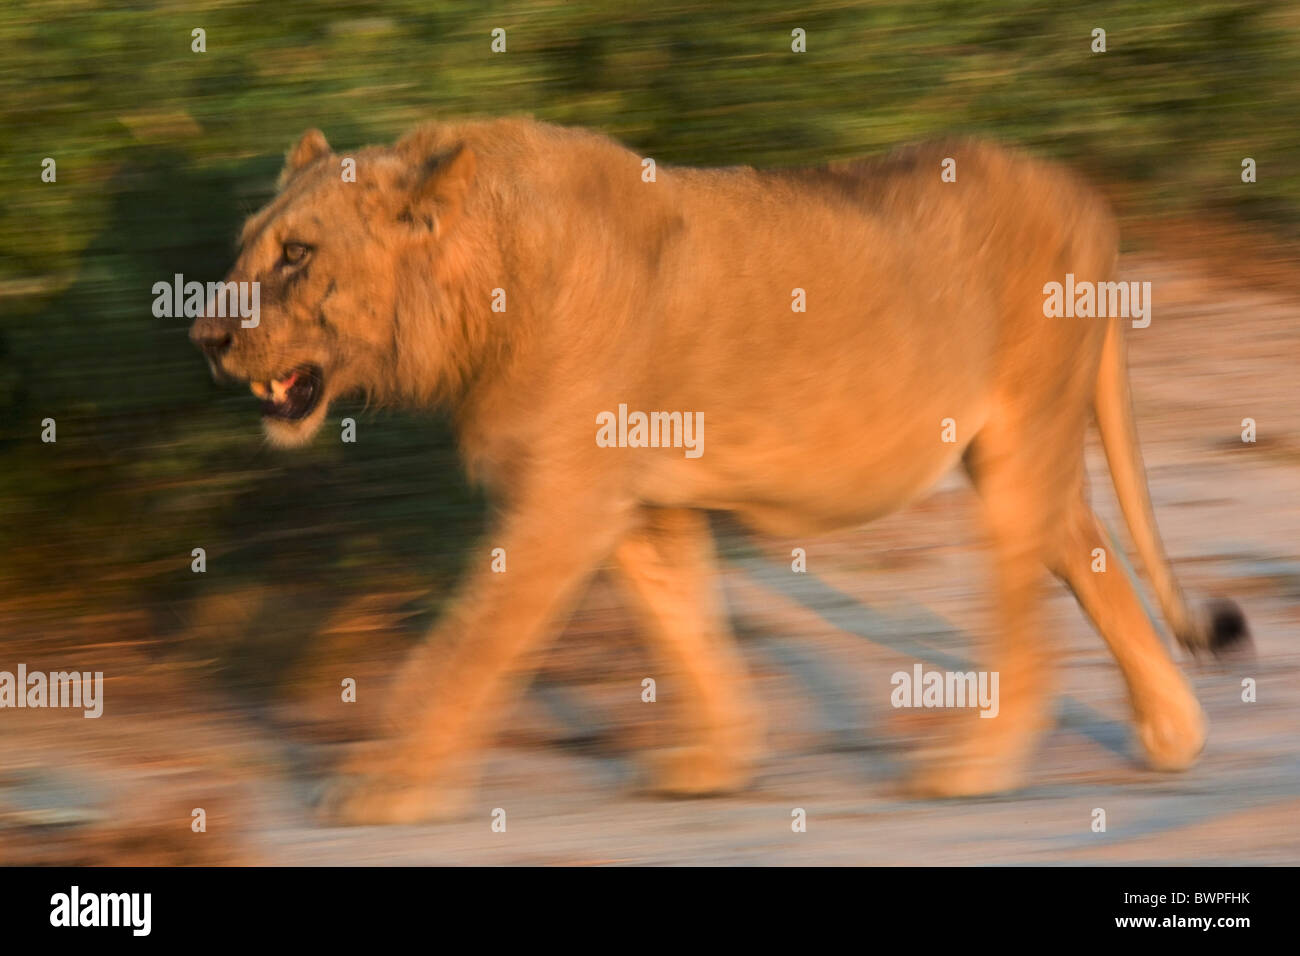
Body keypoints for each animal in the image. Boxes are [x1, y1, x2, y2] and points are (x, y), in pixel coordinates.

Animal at [190, 117, 1250, 824]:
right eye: (244, 248)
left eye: (297, 255)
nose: (204, 338)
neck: (477, 294)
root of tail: (1088, 196)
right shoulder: (633, 499)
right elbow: (687, 627)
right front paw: (721, 760)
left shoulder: (566, 498)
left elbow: (463, 649)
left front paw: (387, 787)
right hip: (1015, 456)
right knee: (1089, 548)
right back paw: (1173, 729)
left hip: (1021, 439)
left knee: (1032, 620)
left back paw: (977, 768)